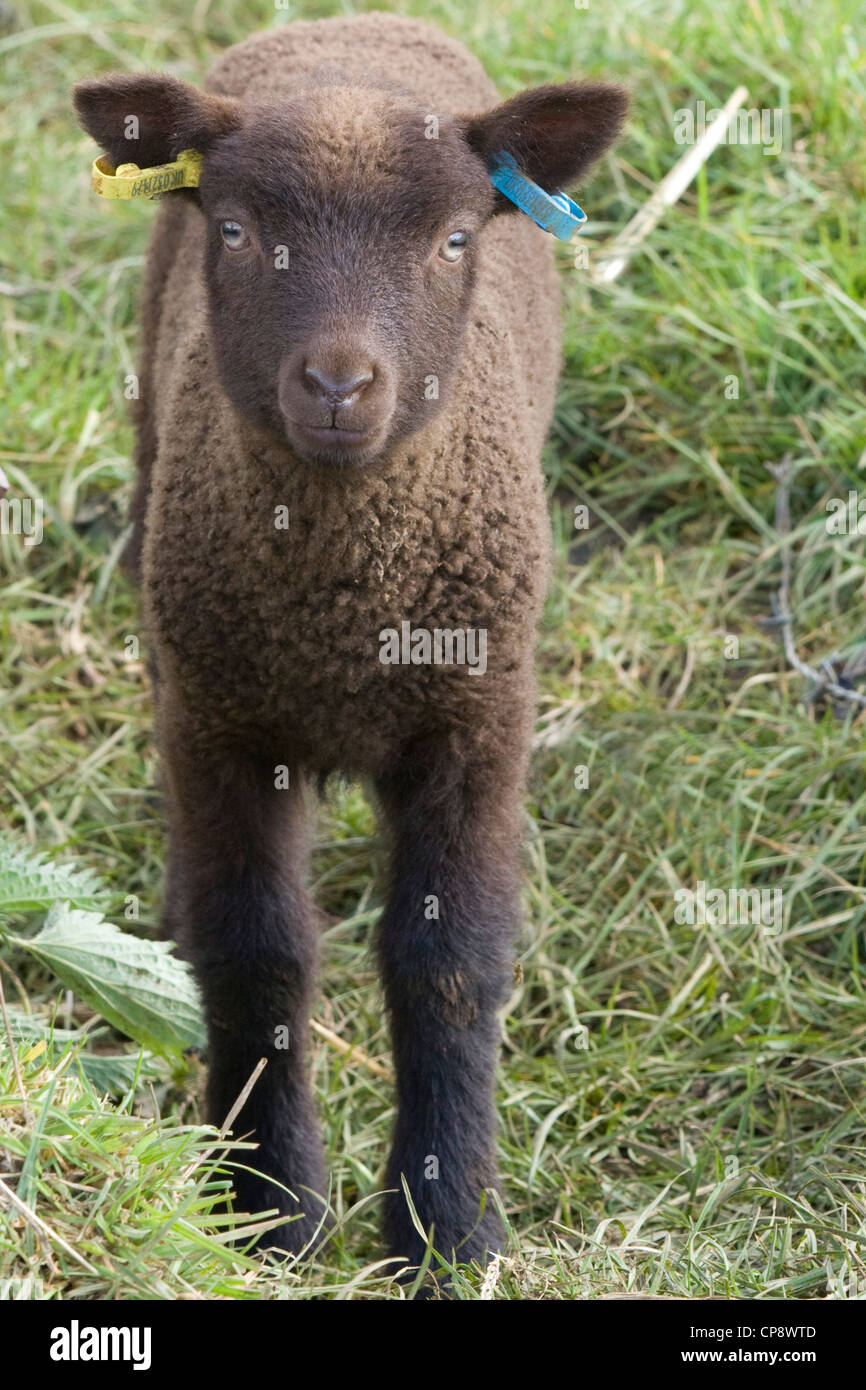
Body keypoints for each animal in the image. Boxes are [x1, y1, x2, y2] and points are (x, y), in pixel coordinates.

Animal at [74, 11, 627, 1275]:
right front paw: (265, 1206)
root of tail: (351, 24)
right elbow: (256, 952)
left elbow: (447, 966)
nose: (336, 382)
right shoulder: (222, 719)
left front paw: (446, 1227)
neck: (337, 612)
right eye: (234, 229)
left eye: (455, 238)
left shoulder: (475, 718)